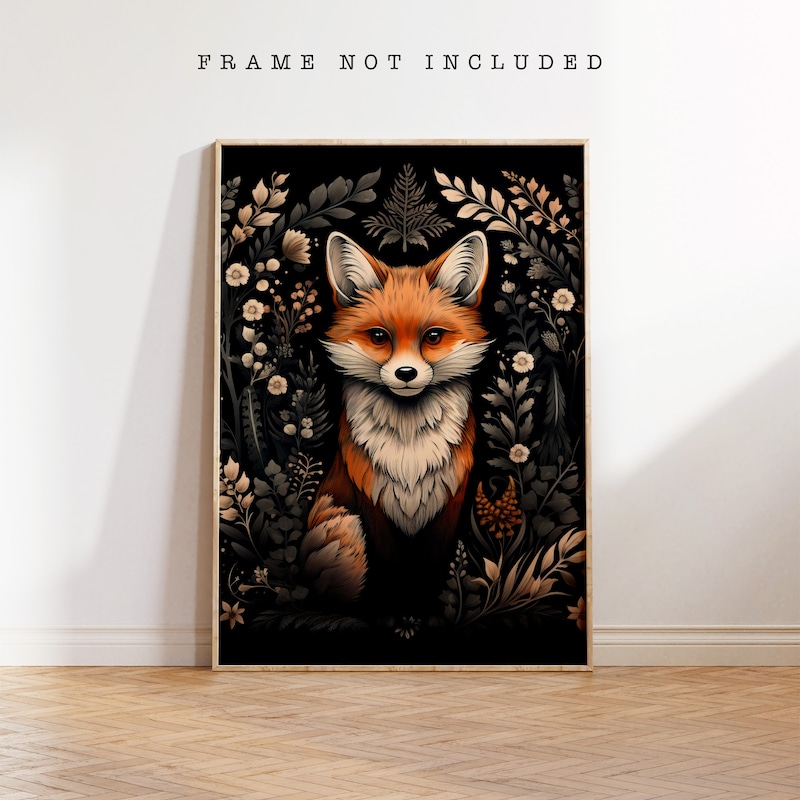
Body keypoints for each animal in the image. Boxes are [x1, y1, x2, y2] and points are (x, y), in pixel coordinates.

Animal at [300, 230, 490, 615]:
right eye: (378, 337)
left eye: (432, 337)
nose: (405, 373)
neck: (408, 447)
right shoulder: (371, 502)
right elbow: (389, 568)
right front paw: (394, 608)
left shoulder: (449, 502)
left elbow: (432, 568)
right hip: (342, 525)